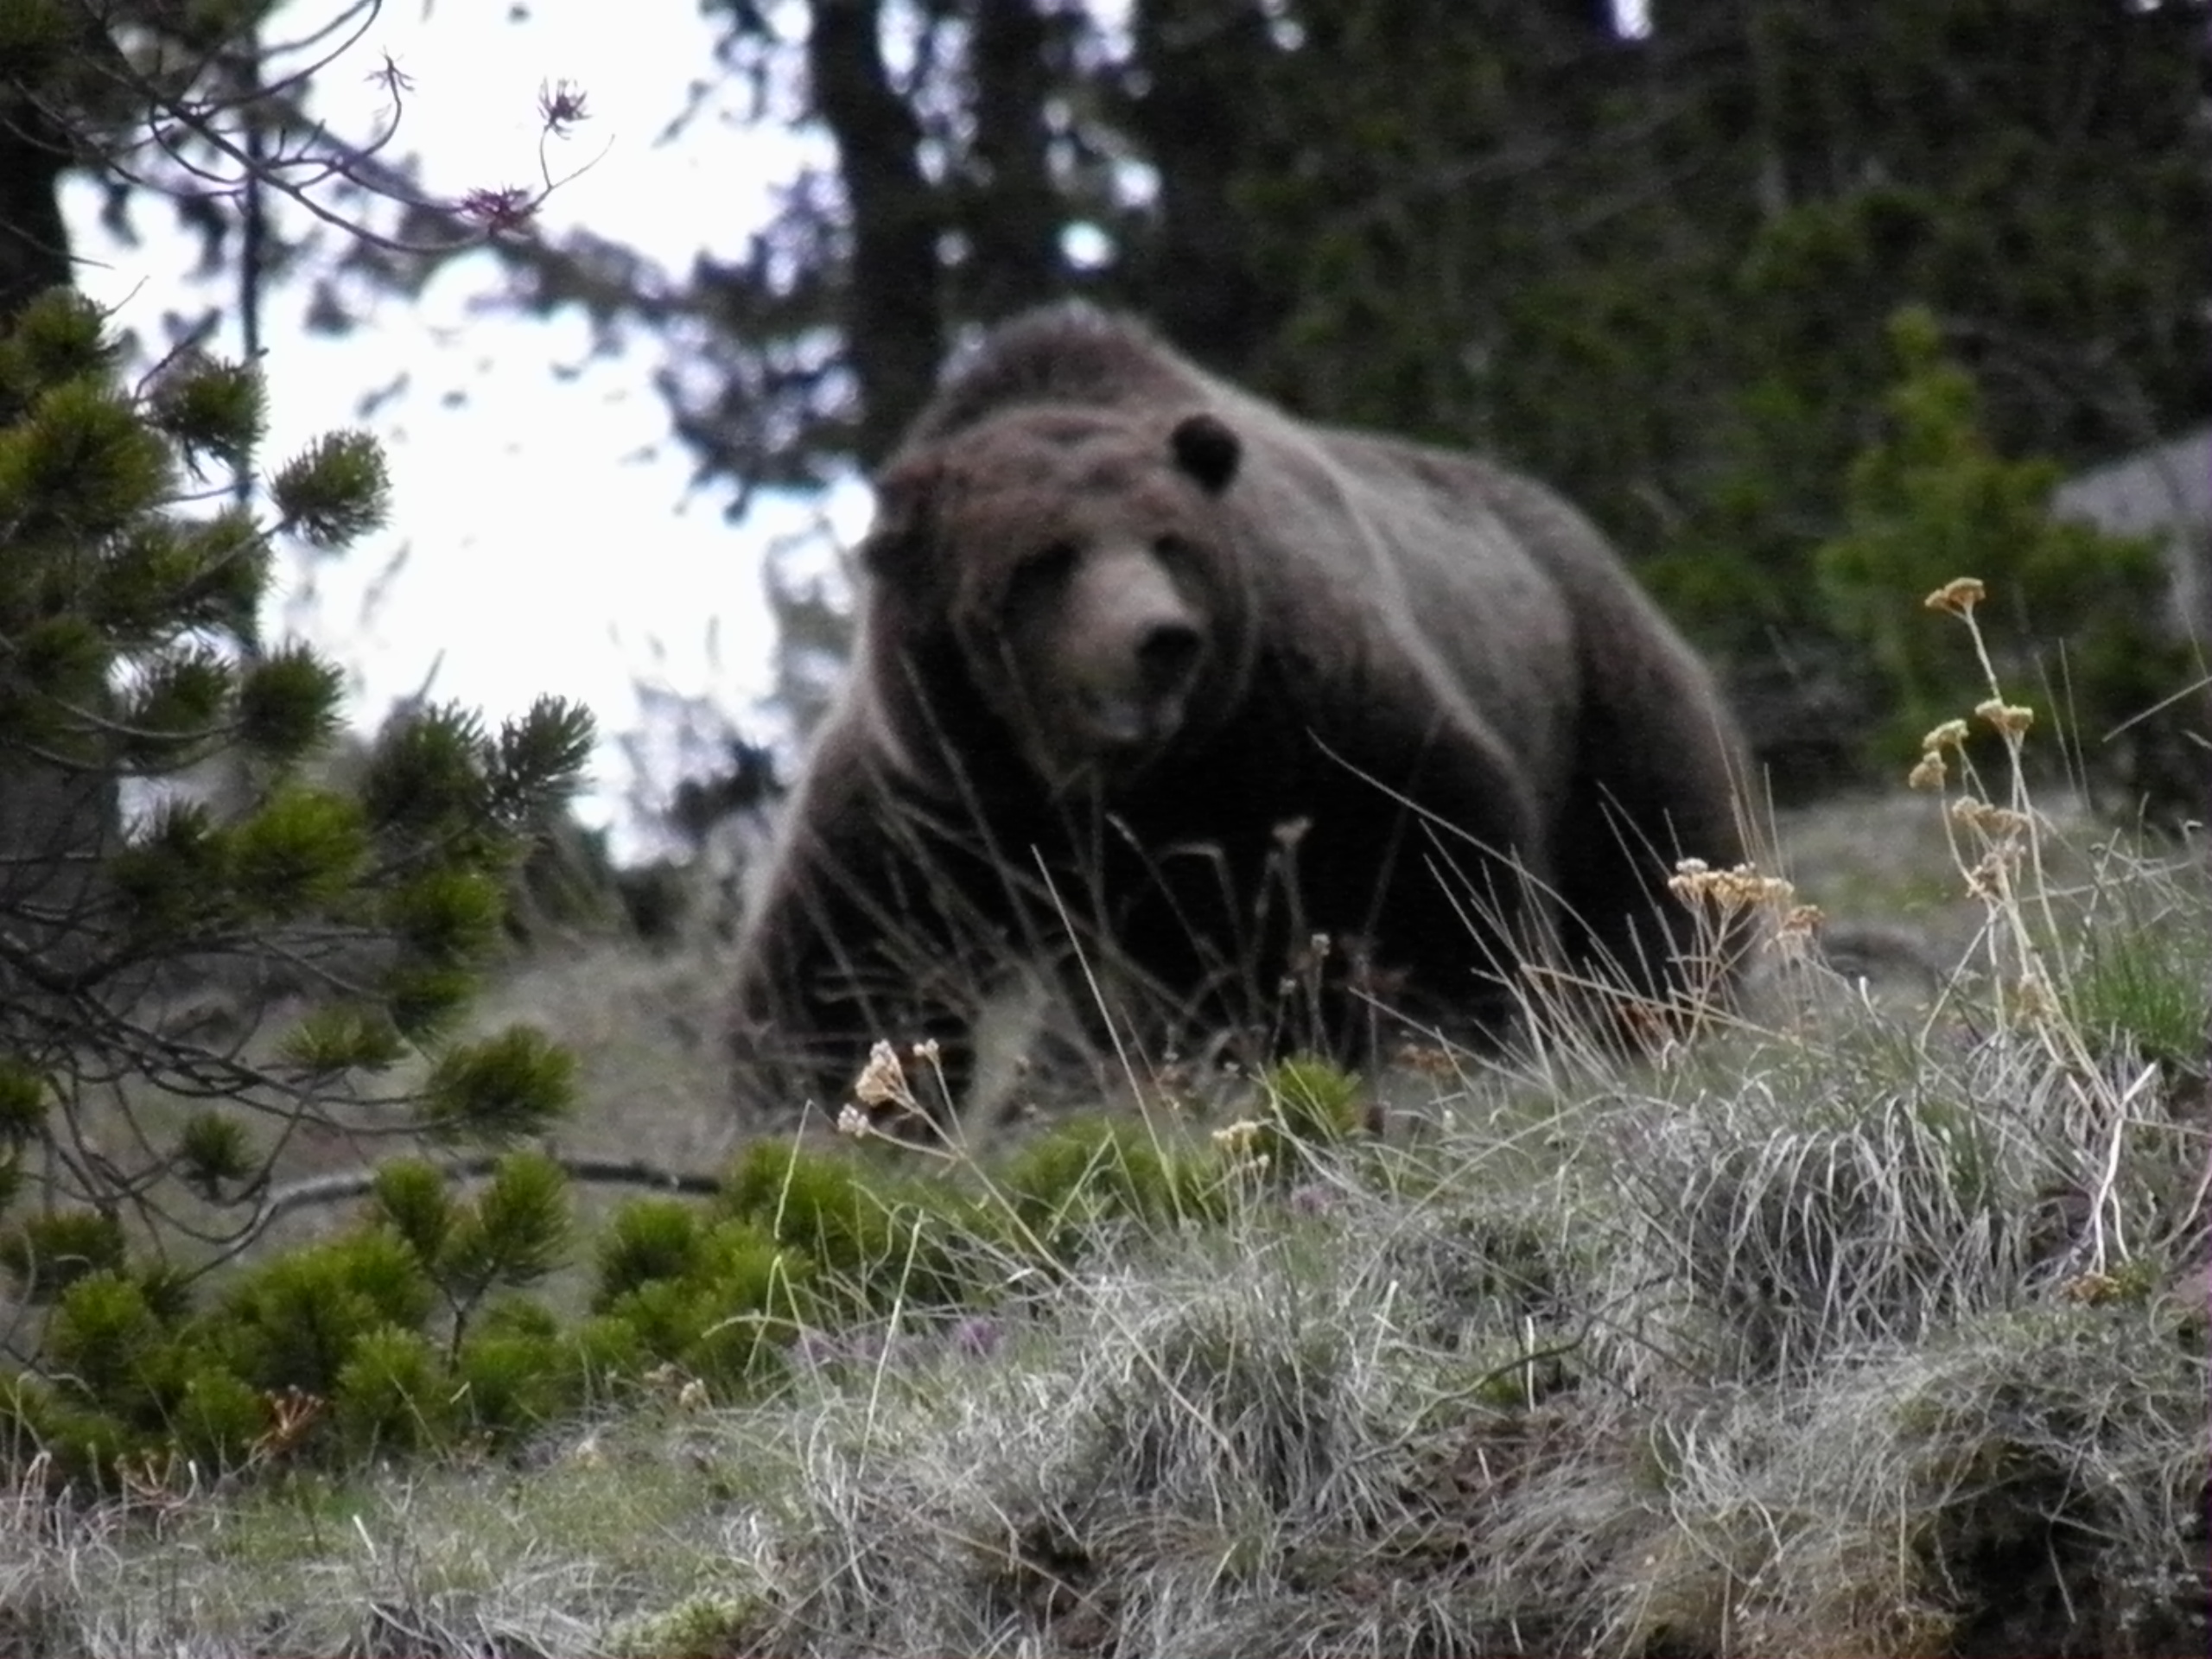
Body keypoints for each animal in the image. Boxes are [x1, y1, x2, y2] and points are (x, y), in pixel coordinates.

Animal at [728, 303, 1748, 1120]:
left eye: (1168, 542)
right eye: (1045, 560)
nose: (1159, 638)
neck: (1124, 785)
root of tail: (1587, 538)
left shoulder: (1307, 716)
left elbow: (1433, 860)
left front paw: (1463, 1026)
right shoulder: (940, 798)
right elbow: (850, 966)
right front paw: (825, 1107)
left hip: (1596, 696)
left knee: (1649, 875)